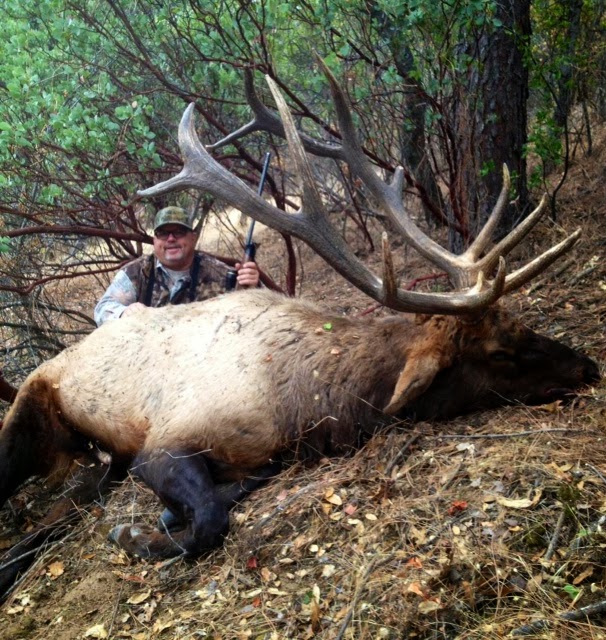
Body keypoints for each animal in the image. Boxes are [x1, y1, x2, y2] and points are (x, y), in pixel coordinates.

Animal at [0, 59, 599, 597]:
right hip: (27, 413)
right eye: (499, 352)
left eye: (519, 321)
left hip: (97, 463)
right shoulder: (163, 444)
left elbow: (232, 492)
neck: (306, 402)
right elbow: (210, 520)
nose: (589, 364)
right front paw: (135, 535)